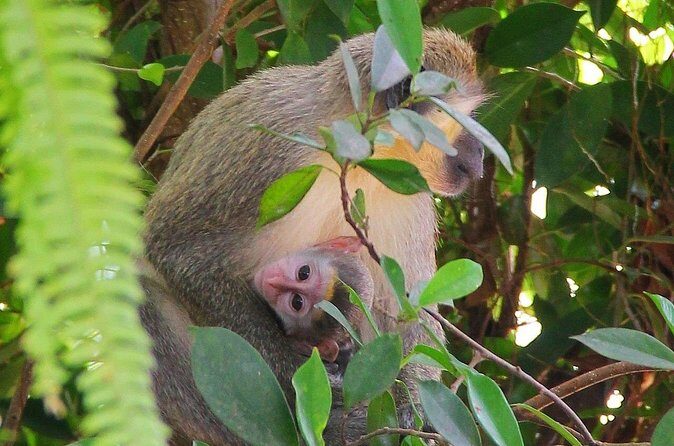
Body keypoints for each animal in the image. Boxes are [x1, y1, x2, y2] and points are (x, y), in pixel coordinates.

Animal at [142, 28, 484, 445]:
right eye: (462, 120)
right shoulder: (267, 147)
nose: (480, 155)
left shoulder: (410, 194)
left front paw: (410, 408)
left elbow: (410, 309)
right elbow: (177, 249)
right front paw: (293, 367)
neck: (358, 152)